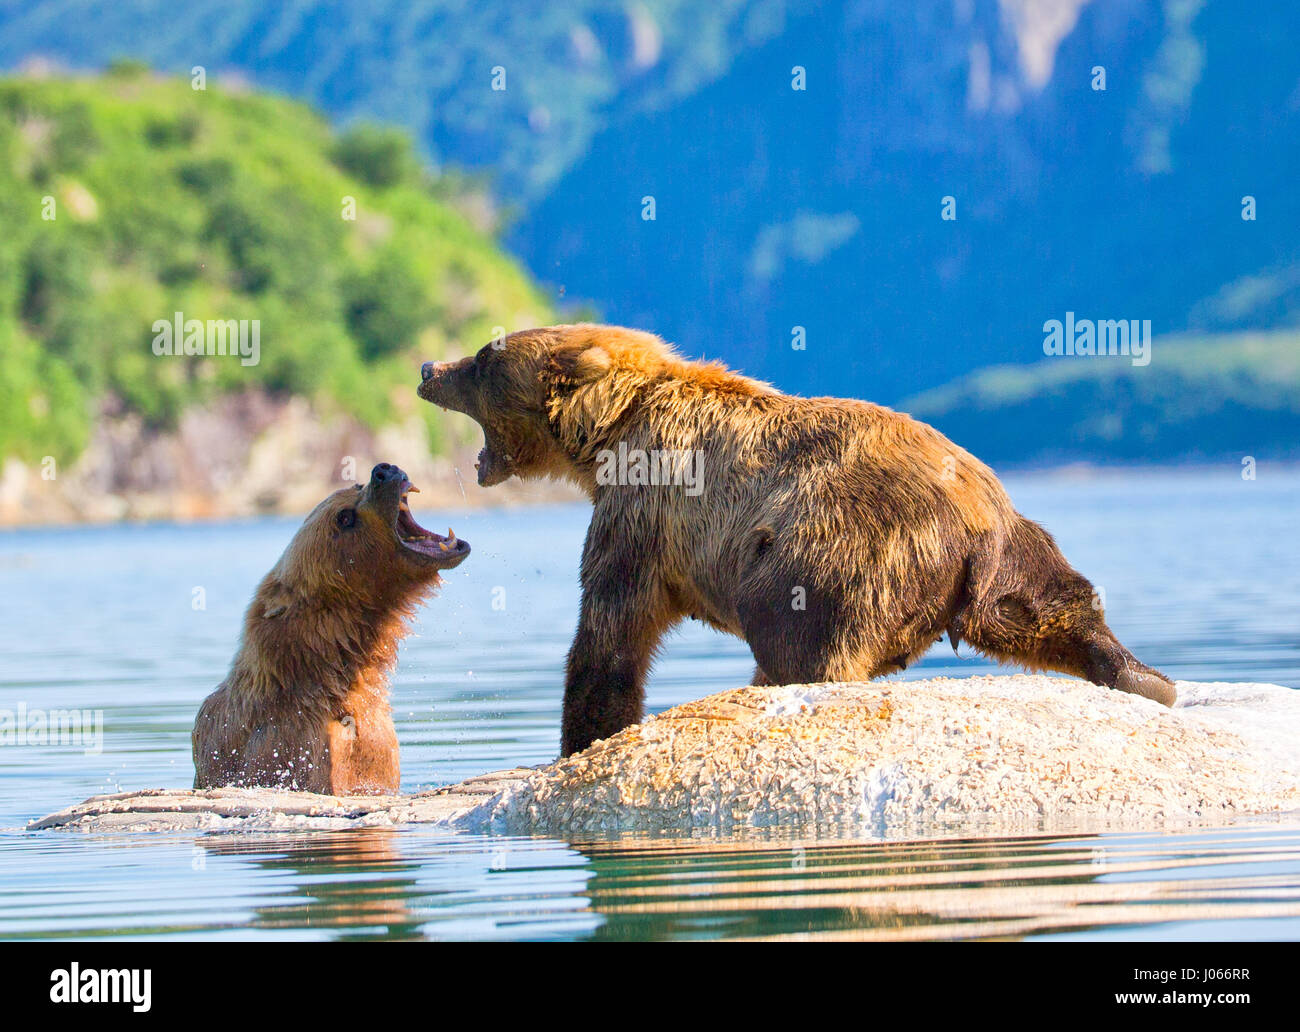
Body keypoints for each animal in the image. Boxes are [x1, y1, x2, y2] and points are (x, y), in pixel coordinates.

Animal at [418, 324, 1176, 757]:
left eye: (483, 355)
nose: (428, 369)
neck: (608, 428)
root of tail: (970, 516)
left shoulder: (641, 508)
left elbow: (612, 626)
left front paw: (585, 734)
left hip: (838, 548)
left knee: (802, 643)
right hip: (999, 536)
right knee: (1038, 596)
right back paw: (1140, 674)